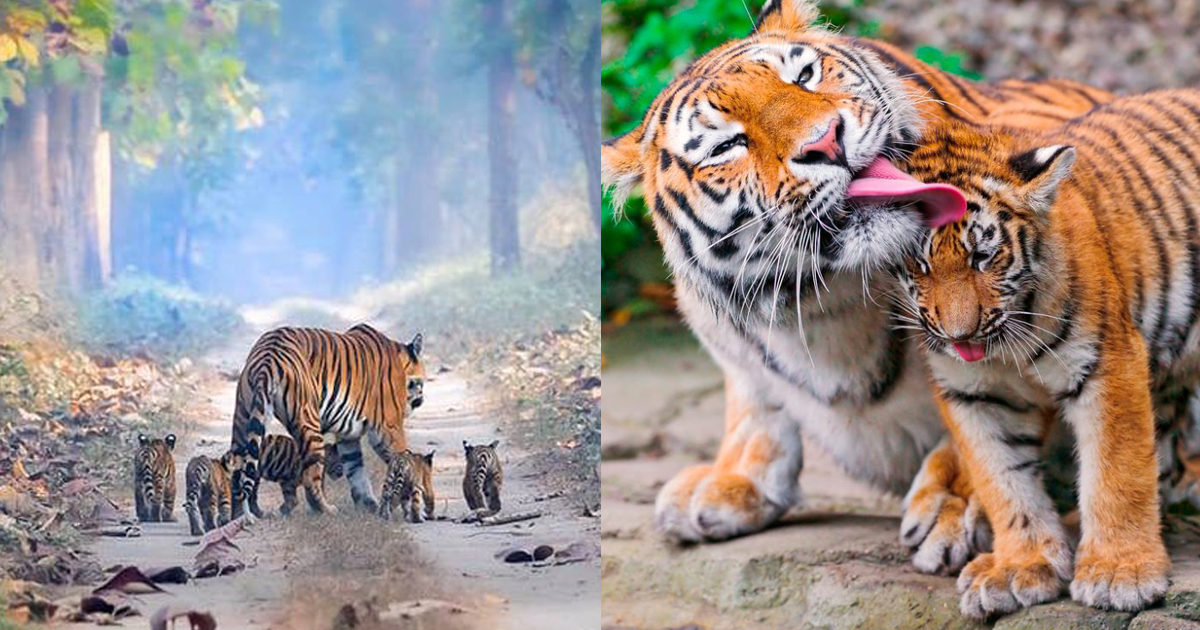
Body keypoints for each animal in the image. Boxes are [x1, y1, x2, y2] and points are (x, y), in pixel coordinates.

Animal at [229, 323, 425, 518]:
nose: (422, 400)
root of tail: (268, 355)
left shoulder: (348, 434)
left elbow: (355, 469)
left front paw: (368, 504)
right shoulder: (388, 427)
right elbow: (402, 461)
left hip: (243, 417)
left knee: (237, 470)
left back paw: (239, 516)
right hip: (309, 421)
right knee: (310, 476)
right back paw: (326, 509)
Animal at [599, 0, 1114, 571]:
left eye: (804, 75)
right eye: (726, 145)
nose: (826, 140)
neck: (827, 298)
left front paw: (953, 504)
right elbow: (754, 399)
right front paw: (731, 479)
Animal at [891, 88, 1200, 616]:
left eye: (983, 257)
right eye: (918, 263)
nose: (960, 336)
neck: (1007, 343)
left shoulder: (1107, 364)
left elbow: (1117, 473)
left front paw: (1120, 573)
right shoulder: (973, 395)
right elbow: (1003, 481)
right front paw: (1019, 567)